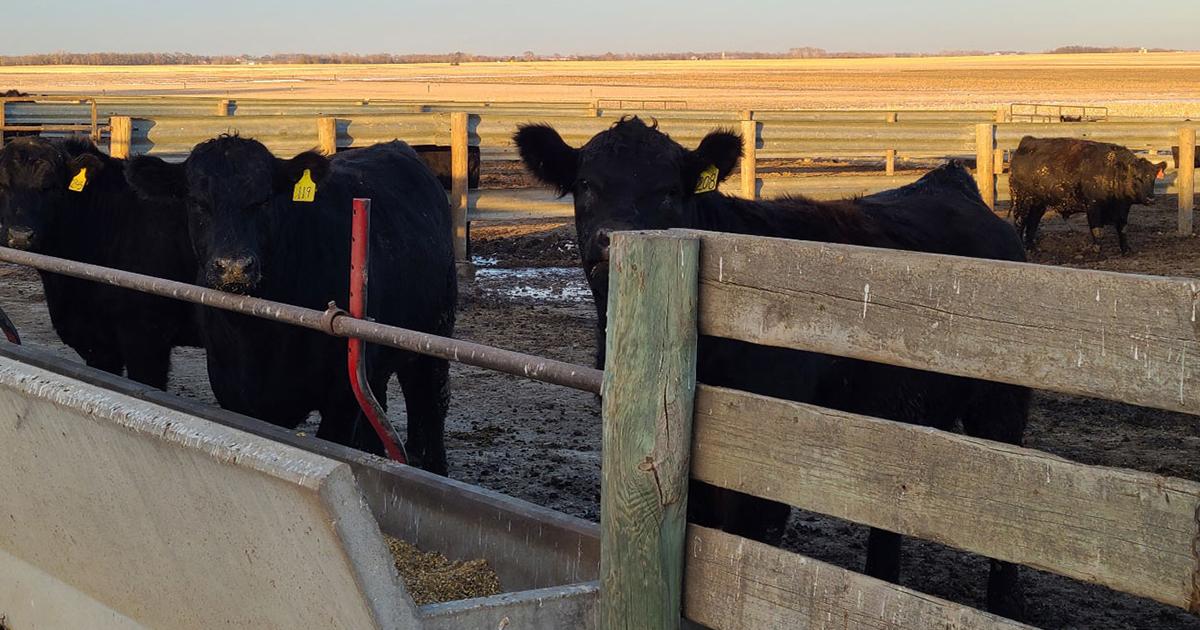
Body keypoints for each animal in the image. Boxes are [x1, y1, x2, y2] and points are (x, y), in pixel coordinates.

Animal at [126, 137, 456, 473]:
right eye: (196, 201)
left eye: (263, 200)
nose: (234, 266)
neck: (259, 335)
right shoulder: (231, 386)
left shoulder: (341, 397)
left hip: (435, 332)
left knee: (430, 401)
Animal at [515, 116, 1031, 619]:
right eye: (586, 184)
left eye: (670, 190)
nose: (612, 239)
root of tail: (951, 181)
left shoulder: (765, 457)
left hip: (1002, 406)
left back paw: (1005, 606)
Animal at [1009, 136, 1166, 254]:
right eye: (1136, 177)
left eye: (1153, 178)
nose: (1151, 199)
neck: (1111, 171)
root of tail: (1027, 141)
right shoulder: (1093, 206)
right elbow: (1097, 231)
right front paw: (1097, 250)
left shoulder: (1123, 208)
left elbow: (1123, 229)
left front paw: (1126, 249)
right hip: (1021, 200)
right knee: (1020, 222)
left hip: (1038, 203)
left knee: (1033, 222)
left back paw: (1031, 247)